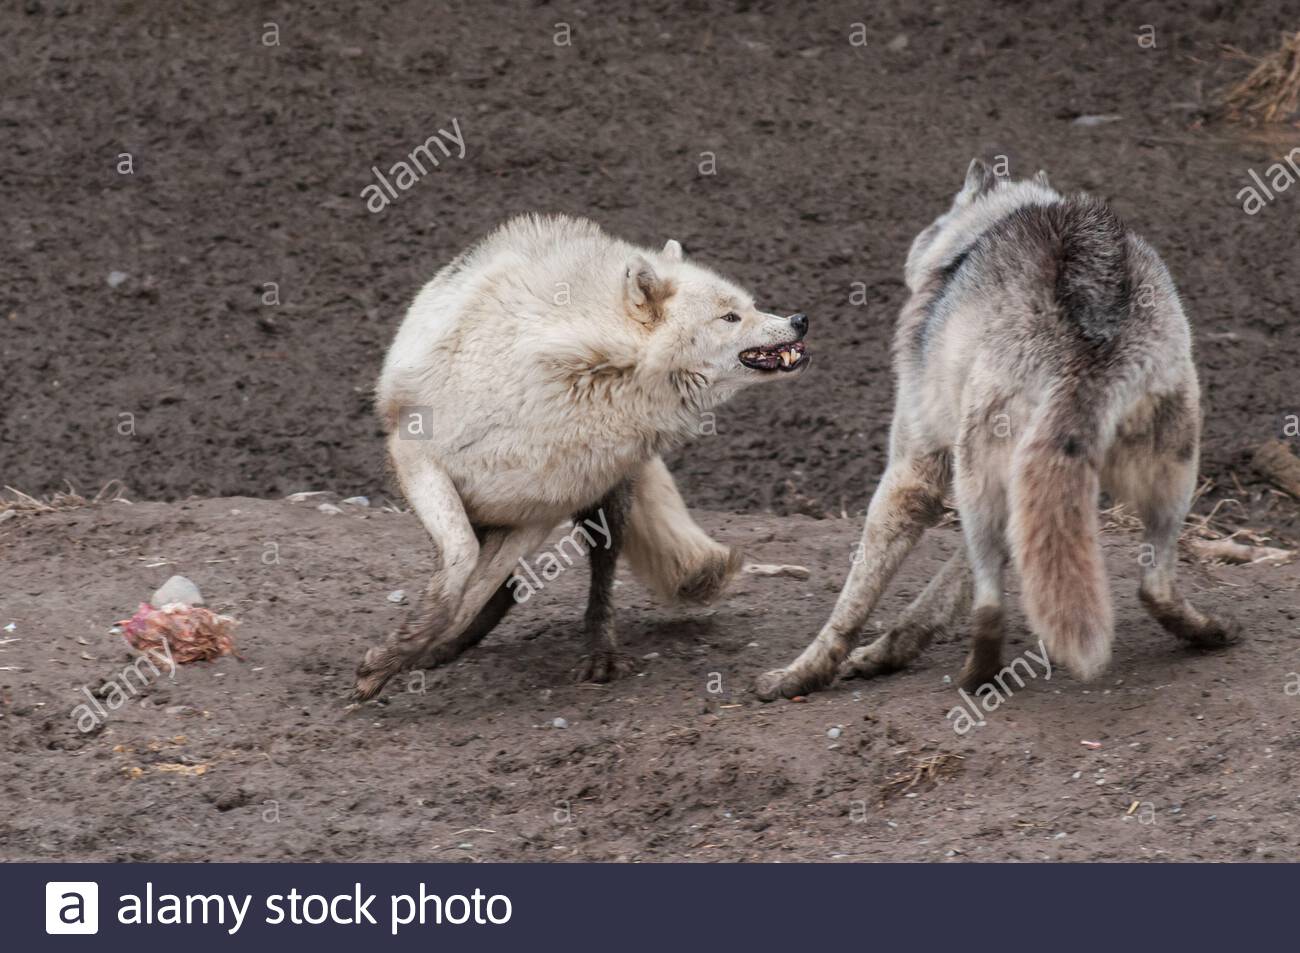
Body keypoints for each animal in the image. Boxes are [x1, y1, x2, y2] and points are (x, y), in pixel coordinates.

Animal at [353, 214, 809, 700]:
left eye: (752, 307)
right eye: (730, 316)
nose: (800, 320)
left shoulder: (535, 516)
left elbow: (470, 593)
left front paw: (395, 657)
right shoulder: (416, 456)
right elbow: (460, 566)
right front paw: (393, 659)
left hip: (606, 502)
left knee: (588, 576)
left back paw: (599, 655)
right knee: (495, 579)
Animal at [756, 160, 1237, 702]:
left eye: (934, 222)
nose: (919, 244)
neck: (986, 229)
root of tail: (1092, 337)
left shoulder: (913, 472)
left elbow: (855, 599)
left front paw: (803, 673)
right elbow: (942, 592)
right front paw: (889, 650)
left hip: (977, 472)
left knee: (989, 606)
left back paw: (978, 673)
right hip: (1167, 475)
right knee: (1154, 587)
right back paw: (1208, 631)